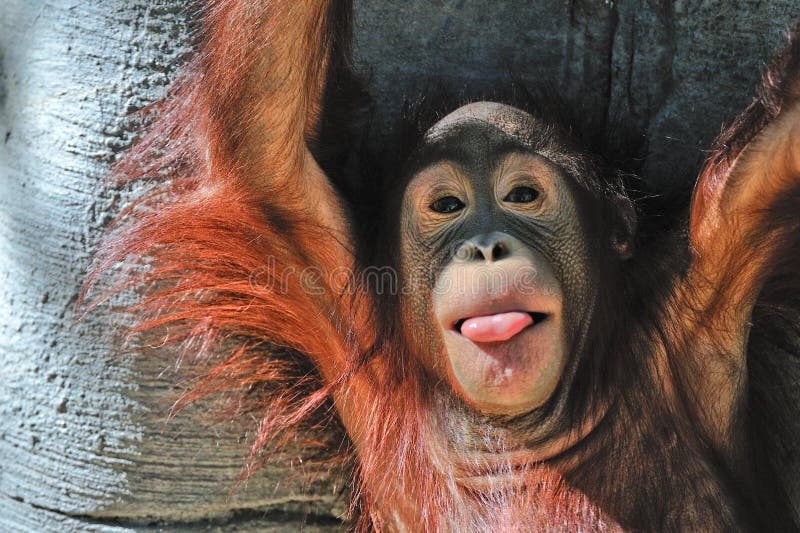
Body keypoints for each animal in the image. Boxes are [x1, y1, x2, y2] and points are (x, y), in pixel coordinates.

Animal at [85, 0, 800, 530]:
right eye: (448, 206)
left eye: (522, 196)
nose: (483, 245)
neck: (518, 432)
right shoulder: (329, 279)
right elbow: (263, 133)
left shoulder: (701, 282)